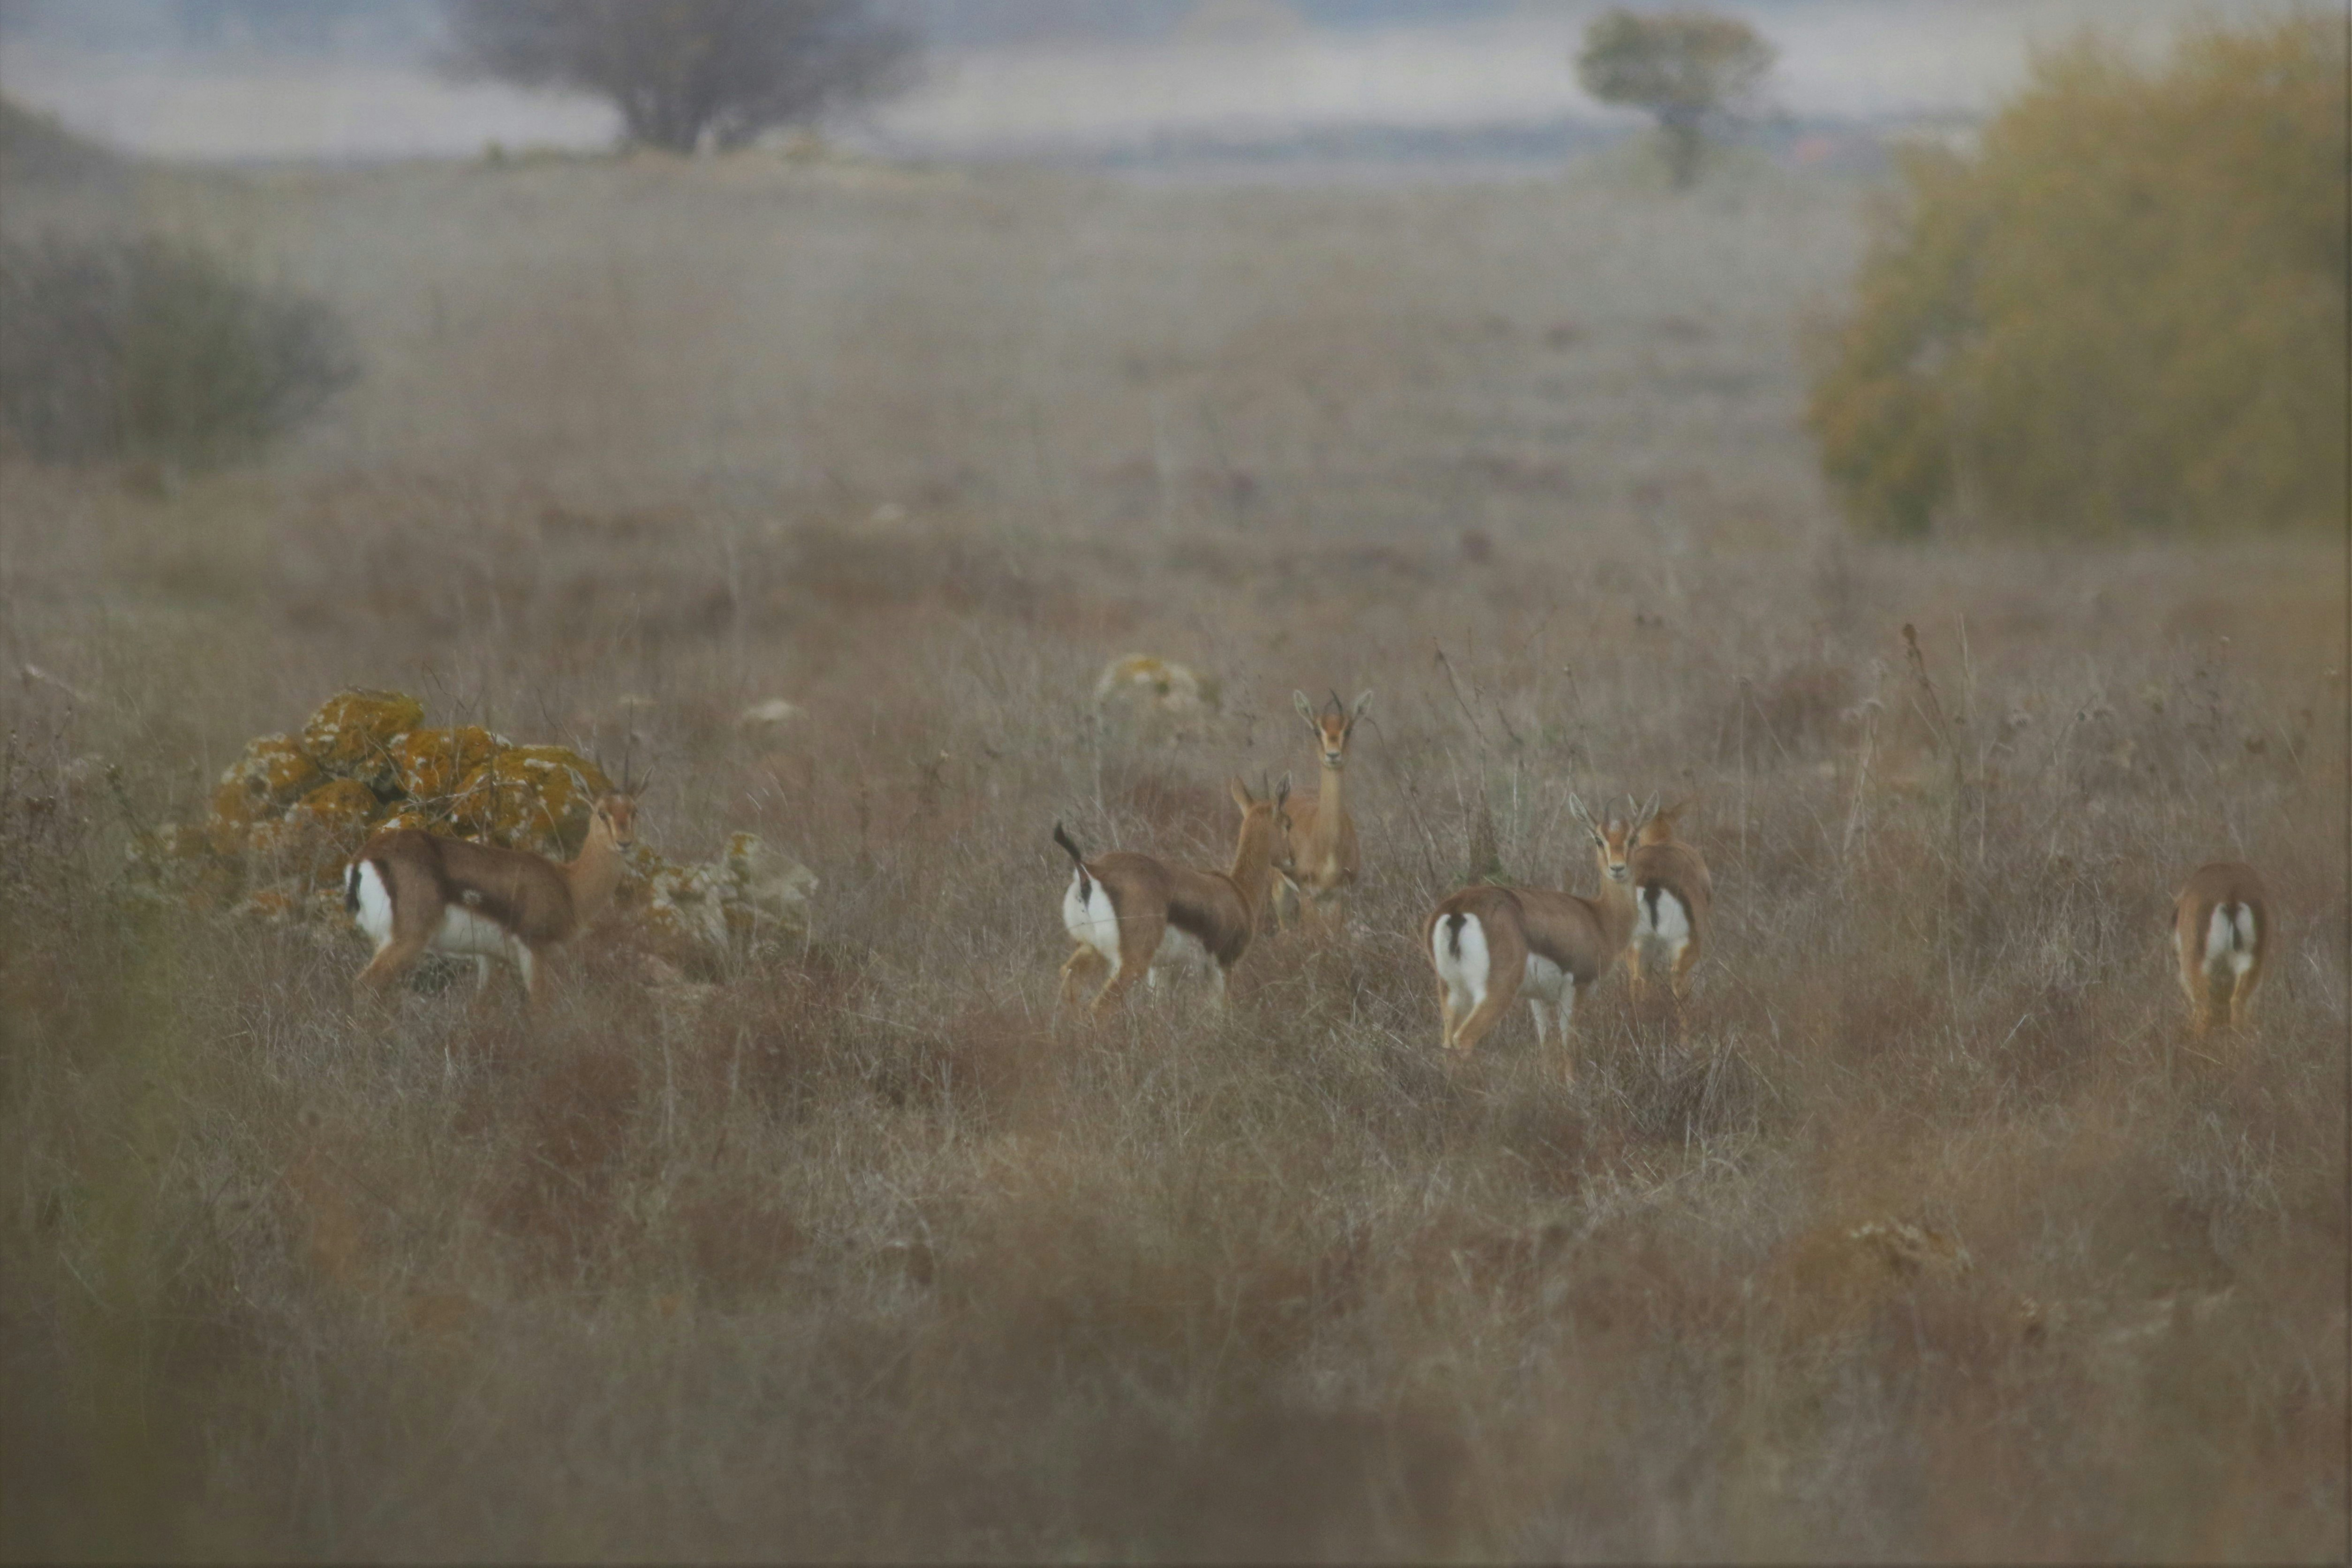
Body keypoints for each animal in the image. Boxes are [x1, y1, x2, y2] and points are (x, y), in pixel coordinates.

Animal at [346, 789, 639, 1016]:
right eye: (602, 813)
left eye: (634, 811)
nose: (625, 843)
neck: (568, 884)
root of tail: (365, 856)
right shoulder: (534, 949)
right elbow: (540, 1008)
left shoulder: (490, 958)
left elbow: (481, 1009)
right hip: (407, 942)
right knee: (362, 987)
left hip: (383, 942)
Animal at [1053, 775, 1290, 1018]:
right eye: (1287, 824)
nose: (1291, 862)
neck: (1239, 892)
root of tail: (1089, 870)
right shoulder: (1223, 966)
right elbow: (1221, 1012)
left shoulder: (1162, 971)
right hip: (1131, 964)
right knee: (1100, 1006)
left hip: (1091, 948)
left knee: (1068, 977)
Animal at [1273, 688, 1373, 930]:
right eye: (1317, 730)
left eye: (1348, 729)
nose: (1333, 755)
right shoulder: (1308, 895)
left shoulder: (1339, 897)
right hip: (1281, 893)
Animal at [1423, 791, 1651, 1083]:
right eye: (1598, 839)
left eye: (1633, 837)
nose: (1618, 869)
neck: (1599, 918)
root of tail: (1457, 909)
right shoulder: (1576, 988)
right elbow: (1568, 1042)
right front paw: (1572, 1086)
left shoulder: (1537, 998)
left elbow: (1544, 1040)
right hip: (1496, 992)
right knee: (1463, 1039)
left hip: (1451, 992)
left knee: (1446, 1043)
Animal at [1626, 795, 1712, 1024]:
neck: (1661, 841)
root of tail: (1652, 881)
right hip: (1684, 945)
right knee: (1678, 982)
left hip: (1636, 947)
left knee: (1639, 979)